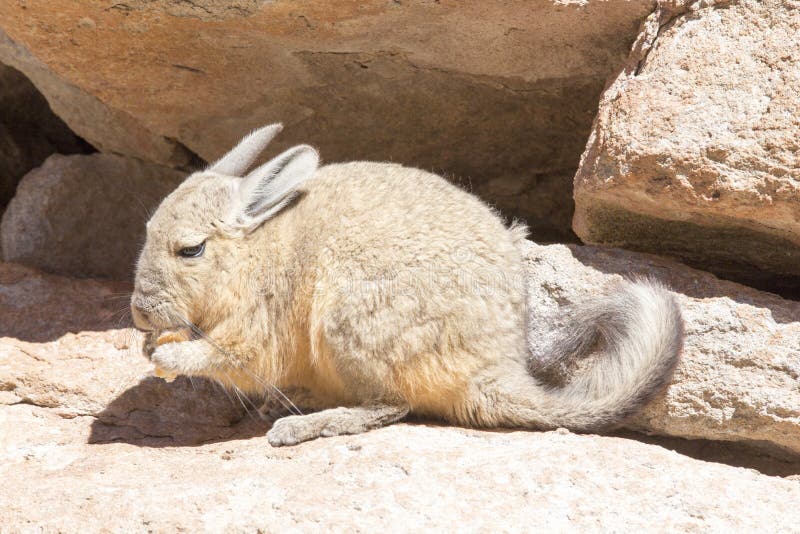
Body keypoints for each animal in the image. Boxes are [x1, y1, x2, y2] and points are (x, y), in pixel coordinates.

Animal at [131, 123, 683, 446]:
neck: (252, 257)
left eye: (191, 250)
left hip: (347, 322)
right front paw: (148, 347)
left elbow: (224, 354)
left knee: (390, 405)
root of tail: (496, 371)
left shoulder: (257, 334)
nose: (138, 314)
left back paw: (295, 424)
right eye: (146, 230)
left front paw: (166, 355)